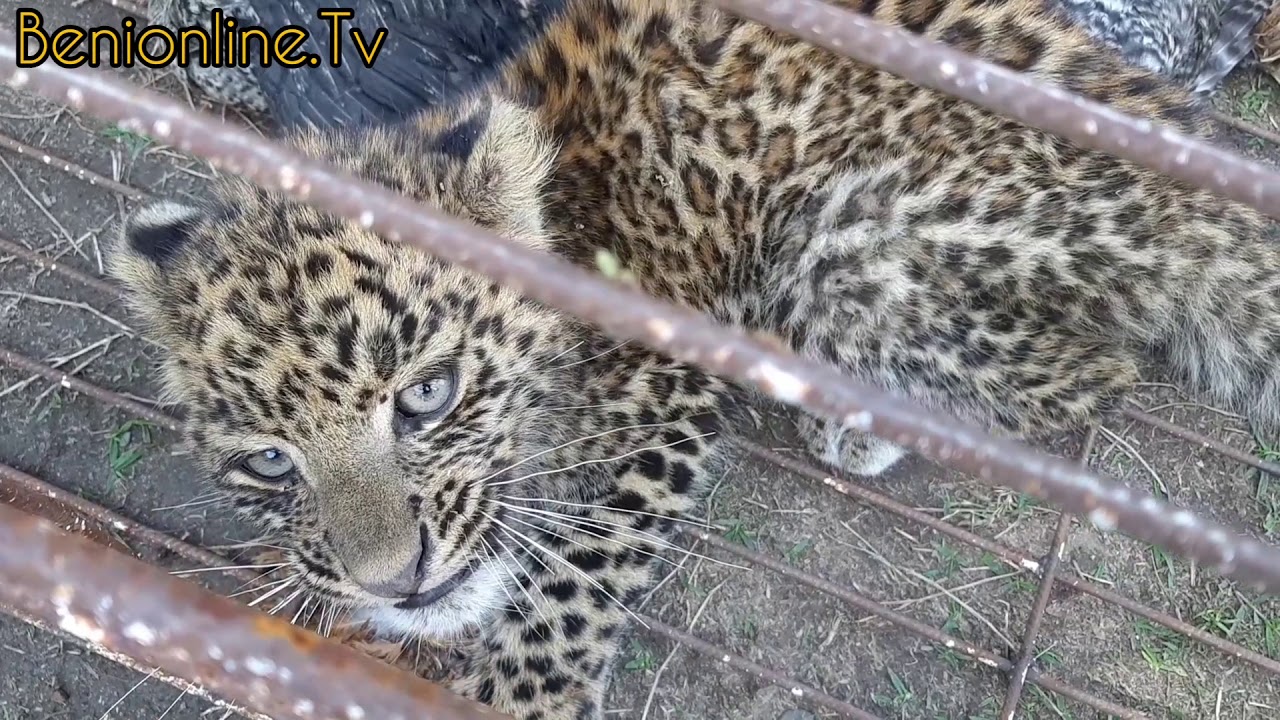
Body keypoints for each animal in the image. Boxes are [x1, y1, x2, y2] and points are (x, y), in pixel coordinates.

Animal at [106, 0, 1280, 718]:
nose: (397, 583)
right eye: (270, 462)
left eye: (429, 396)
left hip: (844, 245)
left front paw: (517, 695)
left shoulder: (665, 398)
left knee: (1091, 374)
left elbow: (574, 574)